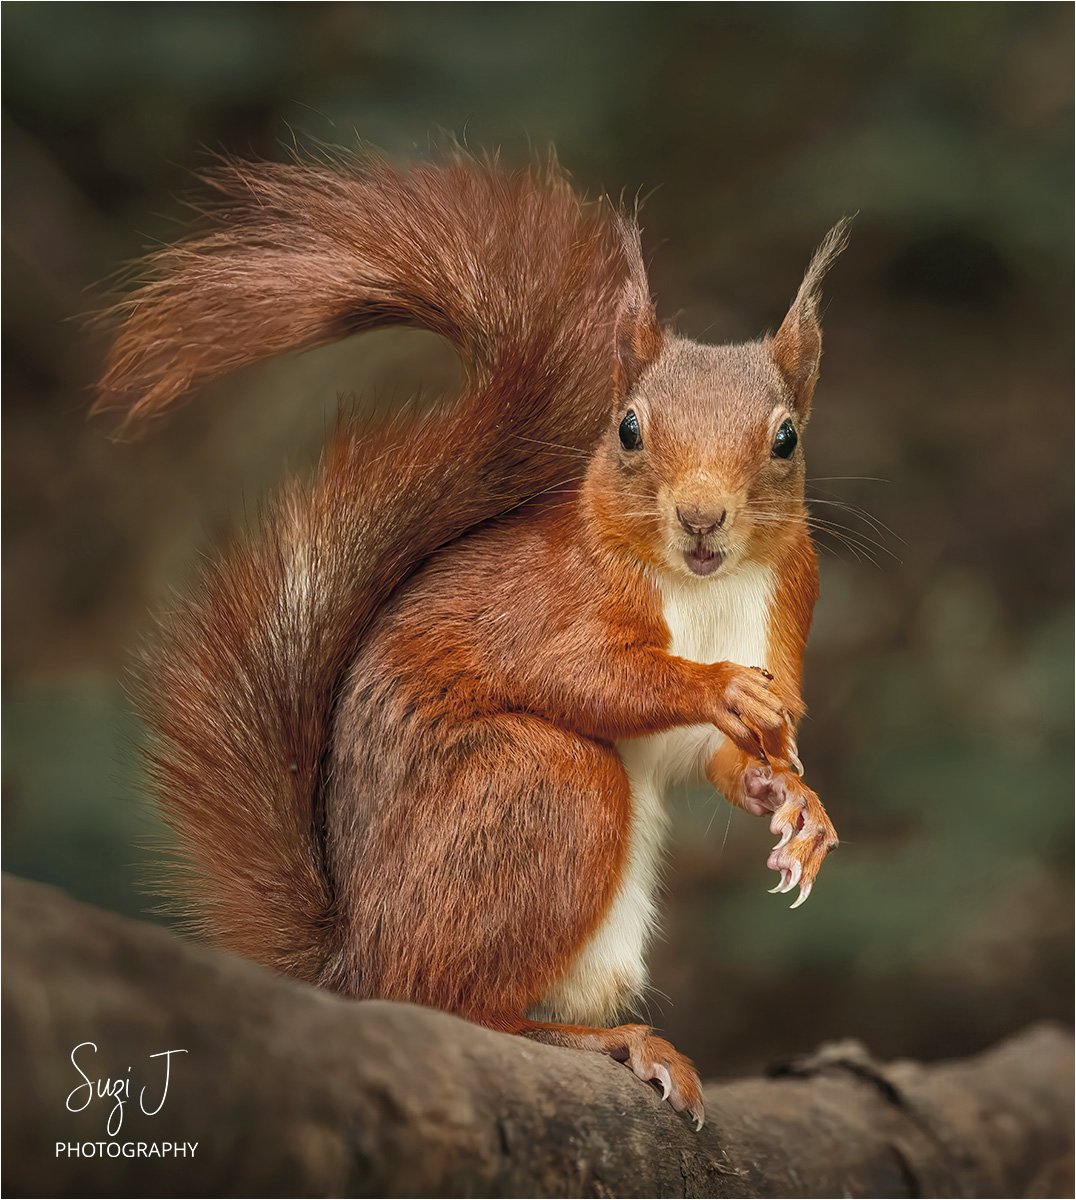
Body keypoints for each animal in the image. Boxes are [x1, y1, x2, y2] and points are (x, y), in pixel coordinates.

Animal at [97, 152, 843, 1130]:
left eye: (786, 438)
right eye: (628, 429)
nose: (701, 518)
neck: (703, 591)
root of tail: (355, 965)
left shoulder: (784, 605)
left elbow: (718, 761)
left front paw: (796, 803)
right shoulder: (547, 603)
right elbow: (576, 674)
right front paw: (718, 684)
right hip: (543, 786)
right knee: (454, 998)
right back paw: (613, 1041)